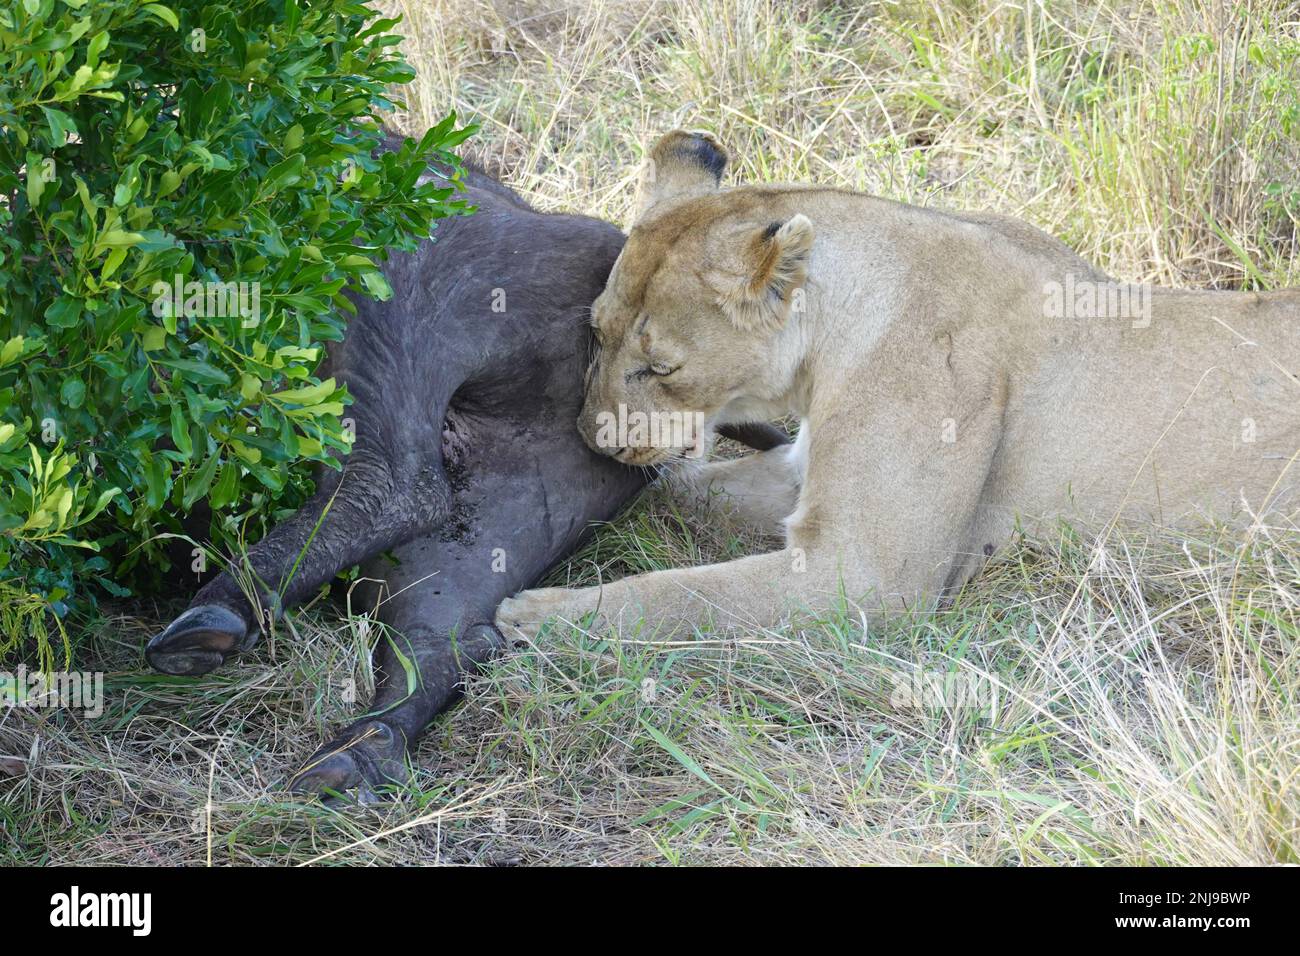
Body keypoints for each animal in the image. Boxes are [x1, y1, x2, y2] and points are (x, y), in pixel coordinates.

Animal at [497, 129, 1300, 639]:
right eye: (595, 334)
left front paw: (536, 617)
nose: (590, 438)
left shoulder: (867, 575)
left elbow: (681, 595)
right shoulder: (798, 474)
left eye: (661, 368)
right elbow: (680, 492)